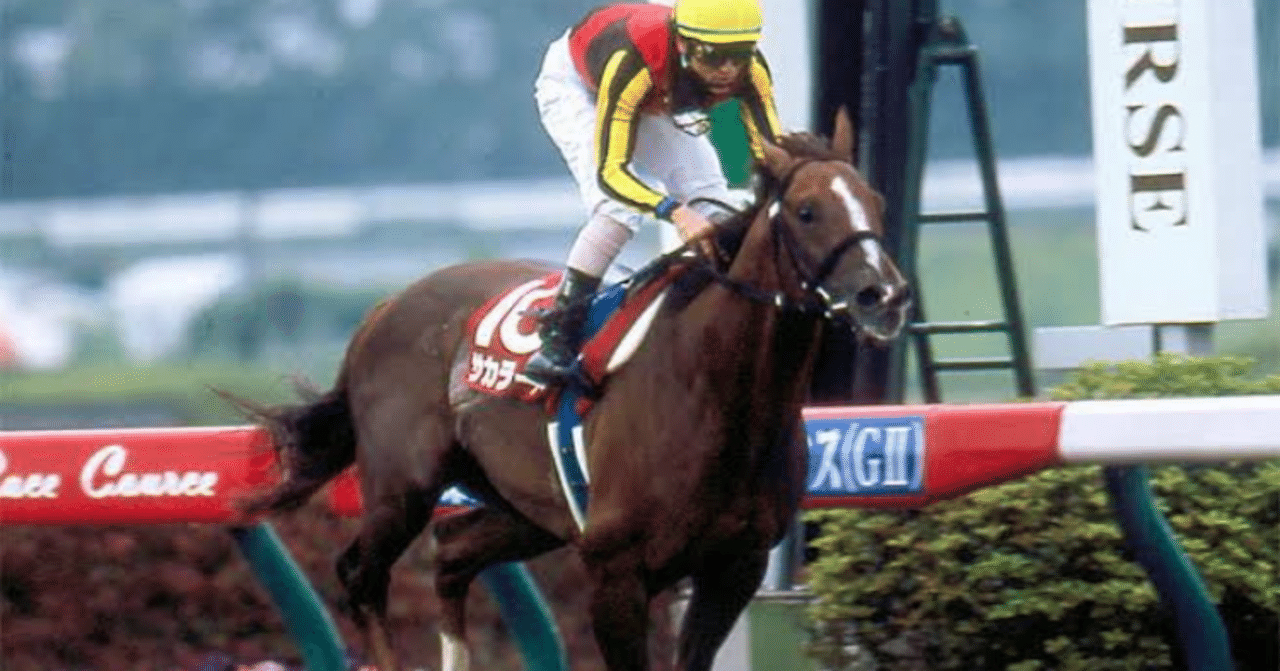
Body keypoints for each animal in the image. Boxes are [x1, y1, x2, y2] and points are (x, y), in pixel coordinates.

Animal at [239, 110, 911, 671]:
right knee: (360, 574)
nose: (885, 295)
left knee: (453, 552)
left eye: (876, 200)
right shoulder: (617, 573)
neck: (719, 397)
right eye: (806, 210)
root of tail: (382, 308)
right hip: (401, 489)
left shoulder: (733, 568)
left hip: (527, 509)